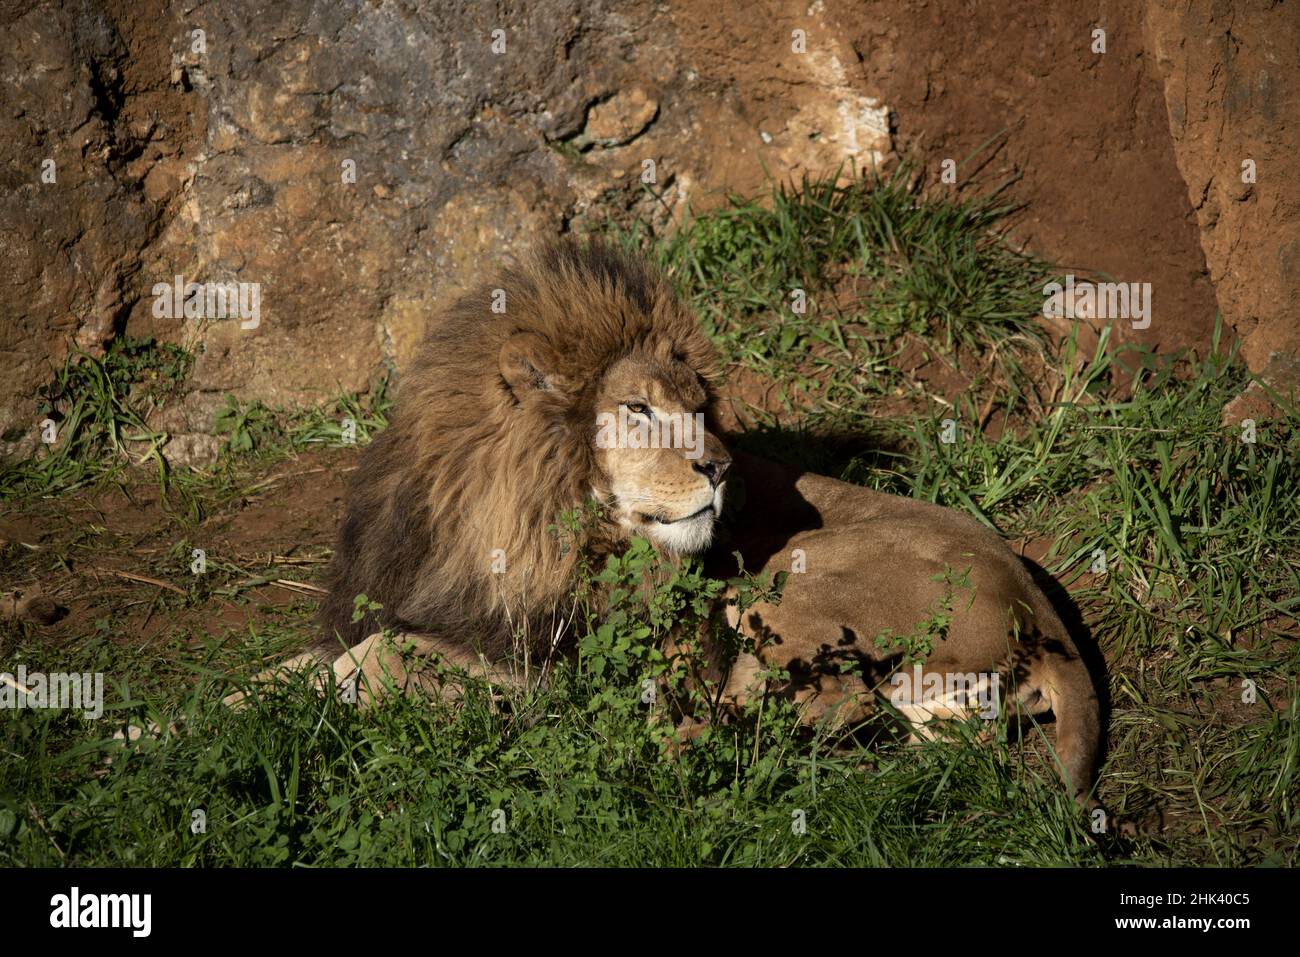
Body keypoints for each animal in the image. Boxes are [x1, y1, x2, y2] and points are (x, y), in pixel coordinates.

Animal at [288, 239, 1101, 803]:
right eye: (639, 409)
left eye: (699, 409)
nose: (720, 467)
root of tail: (1042, 616)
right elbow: (332, 655)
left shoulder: (552, 652)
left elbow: (387, 653)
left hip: (786, 588)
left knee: (777, 710)